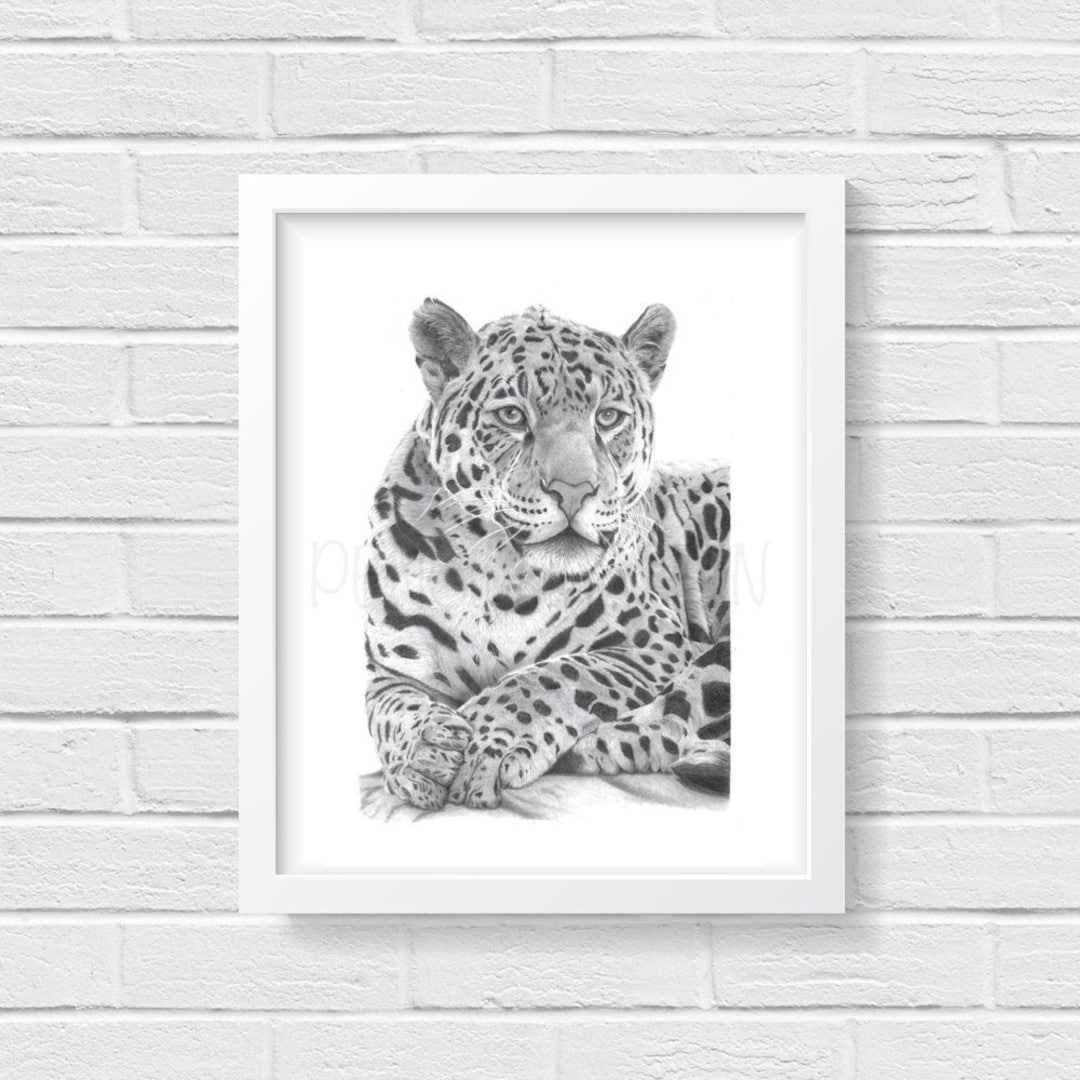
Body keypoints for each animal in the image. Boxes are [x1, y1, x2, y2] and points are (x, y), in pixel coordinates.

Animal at [363, 298, 731, 810]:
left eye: (608, 417)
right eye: (512, 417)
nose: (575, 490)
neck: (500, 575)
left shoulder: (653, 642)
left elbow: (555, 676)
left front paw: (484, 741)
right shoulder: (391, 669)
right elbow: (391, 710)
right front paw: (424, 753)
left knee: (676, 714)